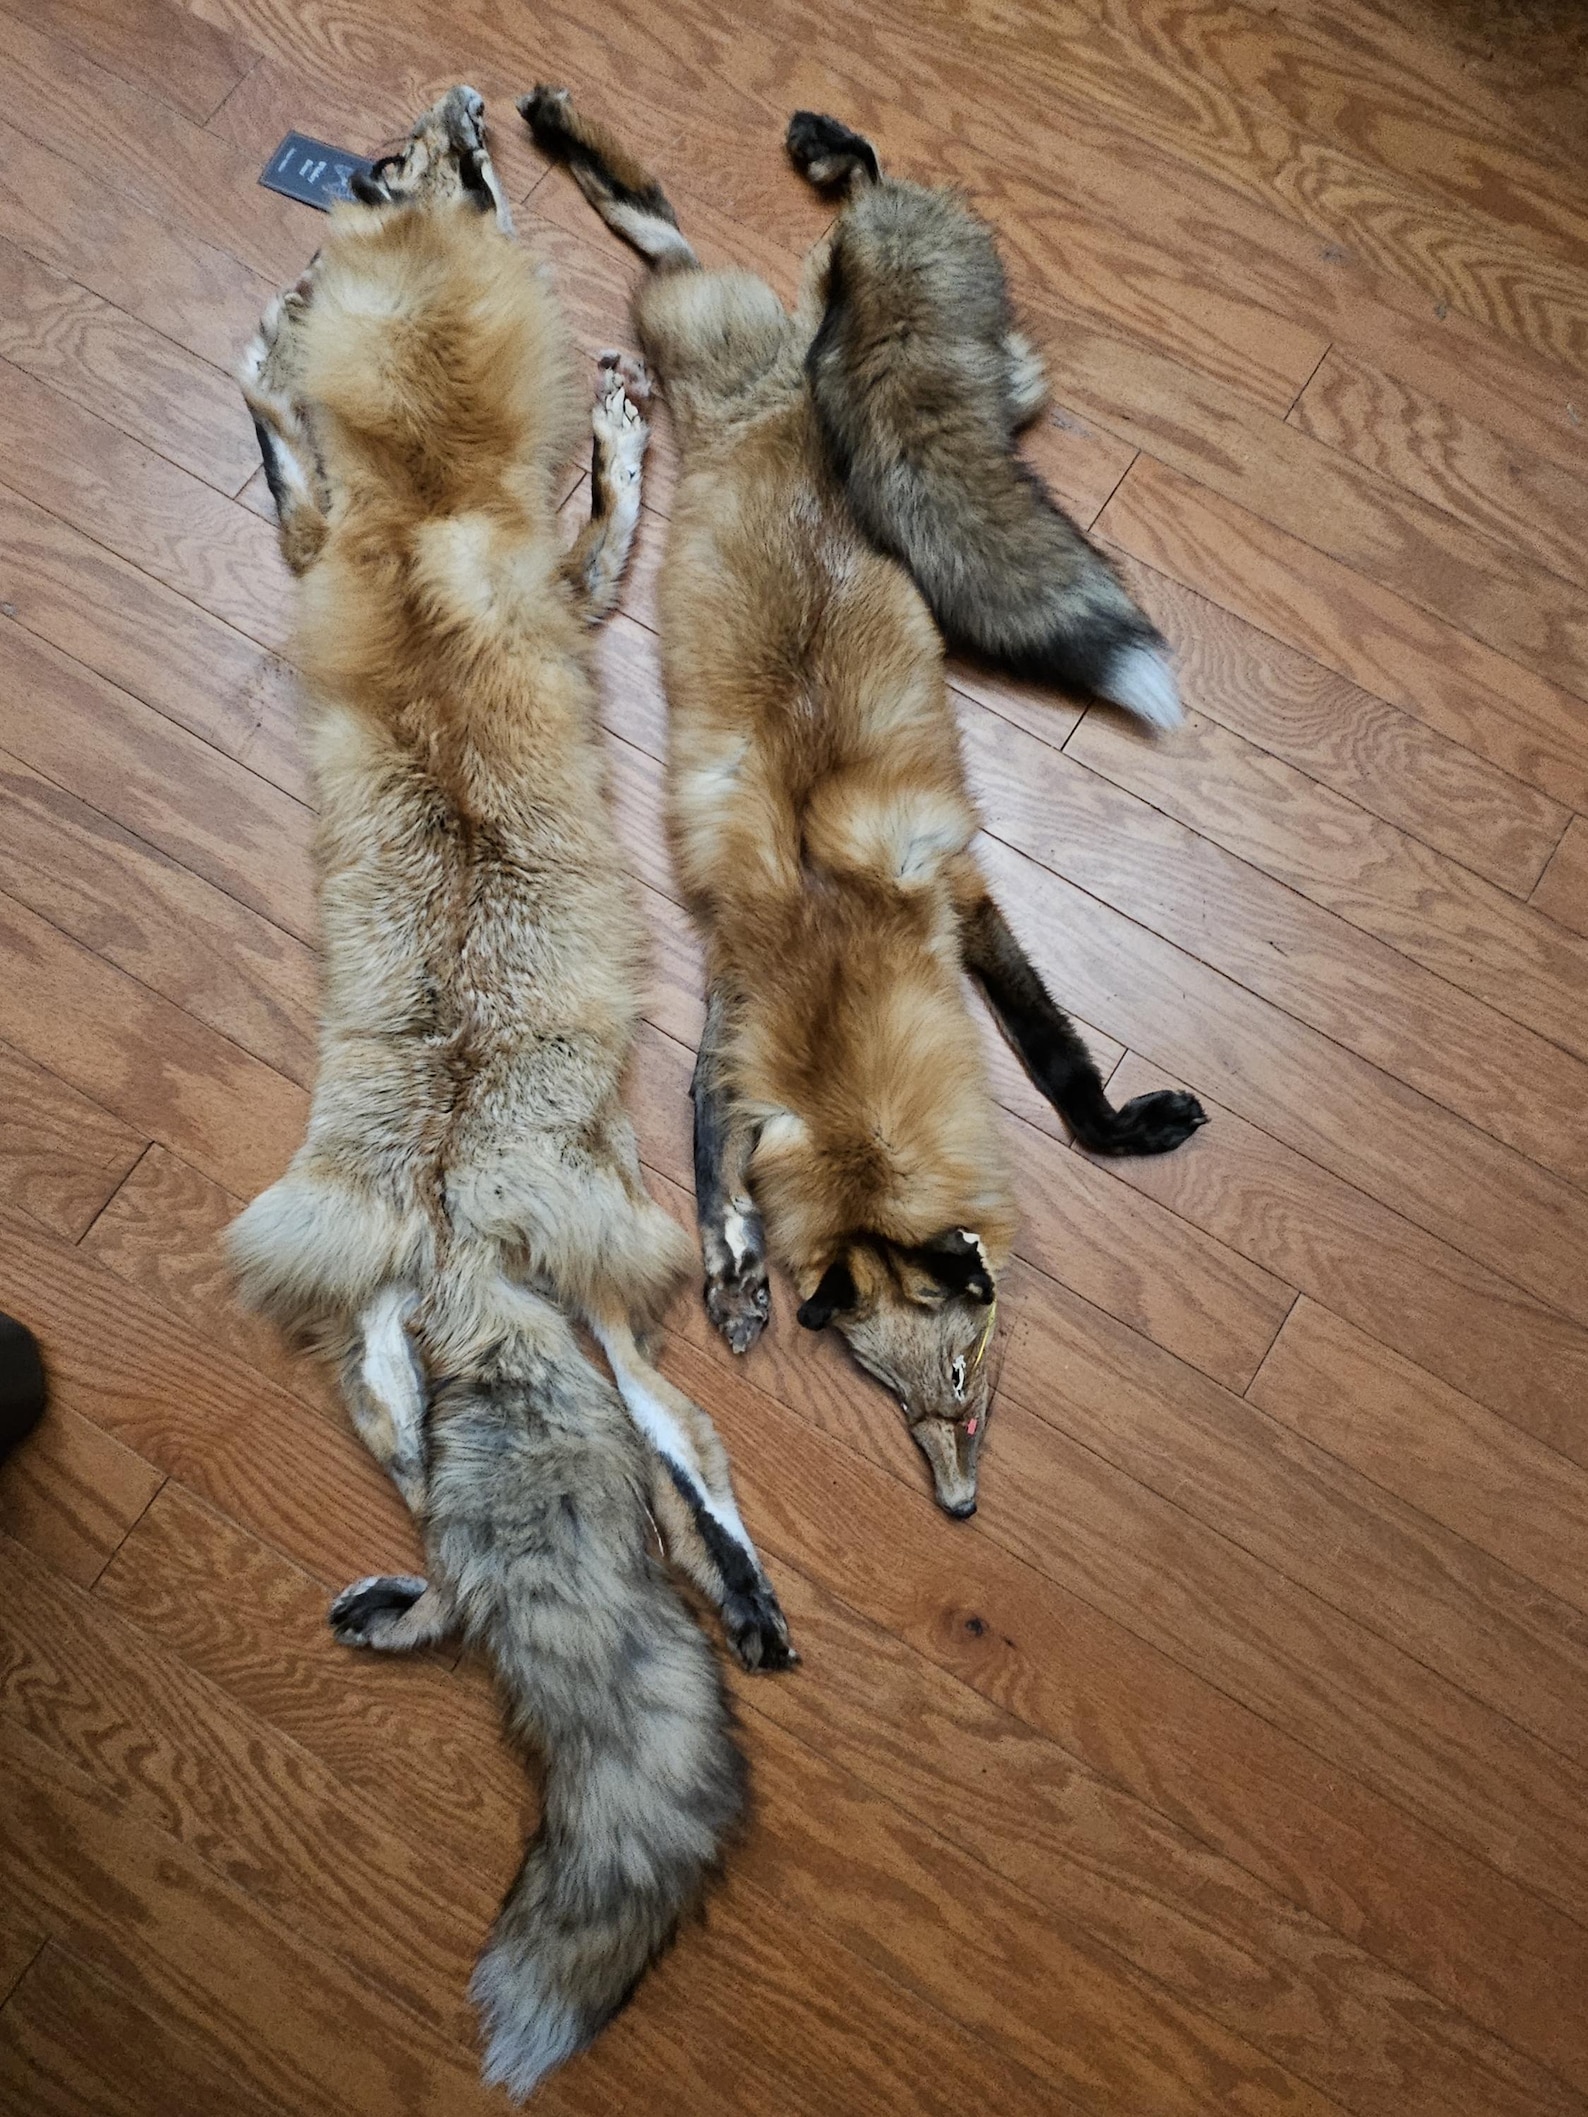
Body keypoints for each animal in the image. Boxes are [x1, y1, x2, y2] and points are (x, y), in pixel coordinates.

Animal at [227, 88, 791, 2101]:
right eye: (416, 158)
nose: (471, 101)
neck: (421, 516)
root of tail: (463, 1208)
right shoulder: (569, 578)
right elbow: (605, 519)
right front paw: (614, 427)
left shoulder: (332, 530)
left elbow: (285, 466)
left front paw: (272, 353)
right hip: (610, 1269)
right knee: (673, 1457)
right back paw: (738, 1593)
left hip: (386, 1335)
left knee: (452, 1517)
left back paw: (414, 1602)